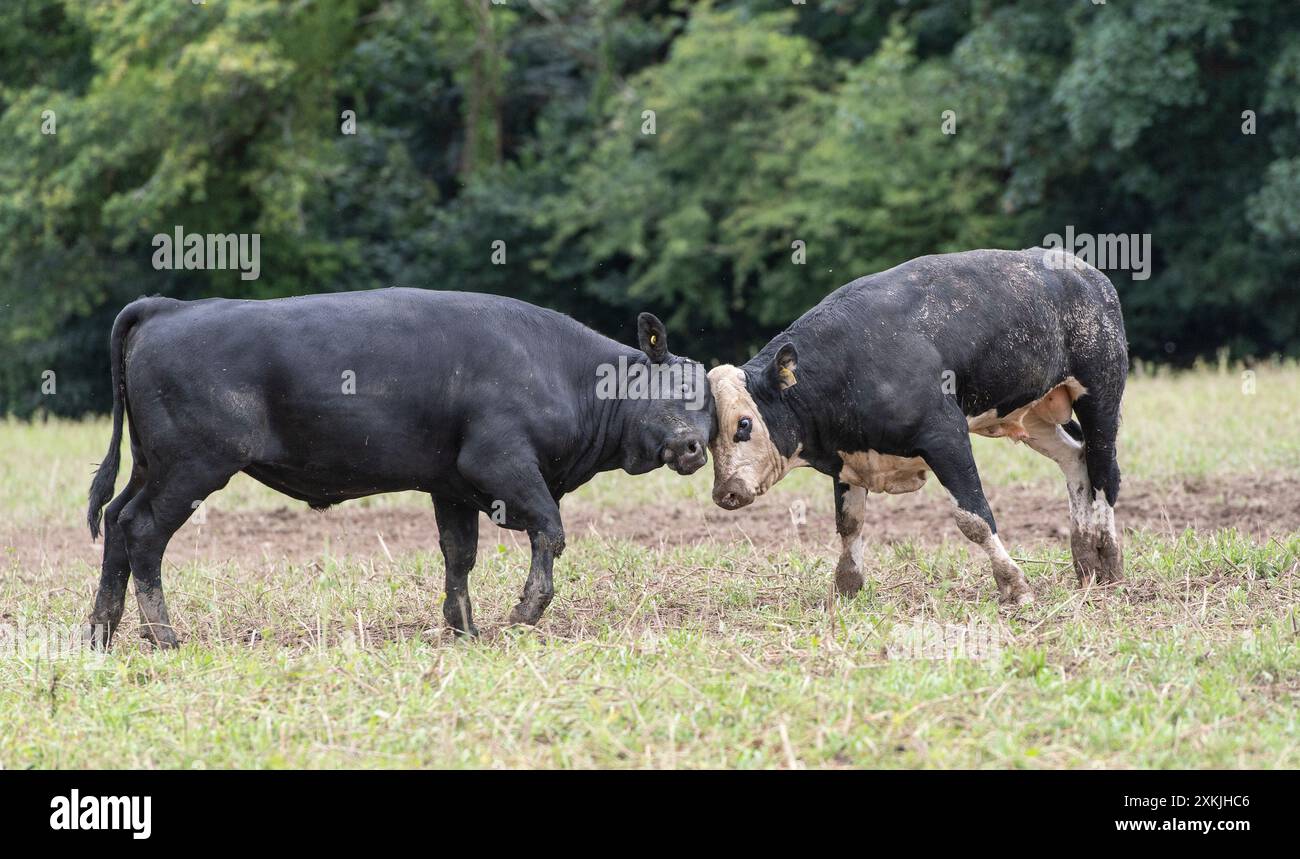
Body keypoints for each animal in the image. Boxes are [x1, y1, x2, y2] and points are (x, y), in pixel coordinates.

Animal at [85, 289, 713, 648]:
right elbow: (550, 532)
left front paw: (464, 630)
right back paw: (163, 636)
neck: (566, 372)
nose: (694, 450)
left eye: (713, 410)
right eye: (678, 388)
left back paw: (101, 631)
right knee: (142, 531)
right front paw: (523, 613)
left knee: (115, 521)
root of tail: (169, 306)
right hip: (192, 468)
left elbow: (459, 555)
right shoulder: (502, 463)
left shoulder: (452, 485)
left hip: (152, 466)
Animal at [707, 248, 1128, 605]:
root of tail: (1086, 273)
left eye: (744, 424)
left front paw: (1014, 585)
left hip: (1101, 395)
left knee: (1103, 472)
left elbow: (974, 518)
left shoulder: (946, 435)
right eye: (710, 437)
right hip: (1036, 414)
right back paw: (1086, 561)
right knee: (1075, 460)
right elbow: (850, 524)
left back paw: (1108, 561)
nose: (725, 491)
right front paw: (846, 587)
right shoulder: (849, 458)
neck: (849, 364)